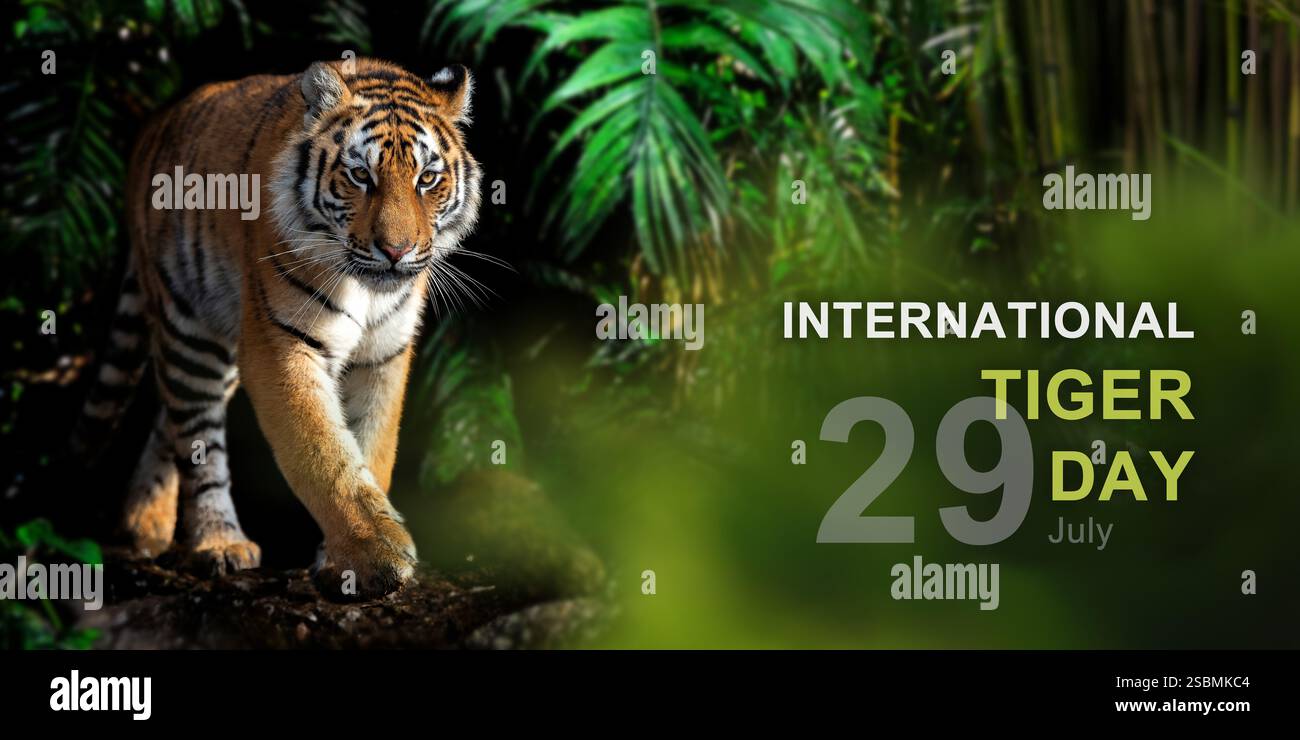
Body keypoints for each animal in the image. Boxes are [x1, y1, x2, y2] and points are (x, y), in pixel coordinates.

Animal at [71, 58, 484, 598]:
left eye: (428, 179)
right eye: (360, 175)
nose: (396, 251)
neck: (367, 289)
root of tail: (154, 125)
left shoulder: (383, 357)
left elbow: (372, 450)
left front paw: (342, 559)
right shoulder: (280, 345)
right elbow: (324, 456)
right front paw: (376, 558)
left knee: (171, 422)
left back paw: (144, 526)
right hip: (190, 328)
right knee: (197, 437)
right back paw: (218, 543)